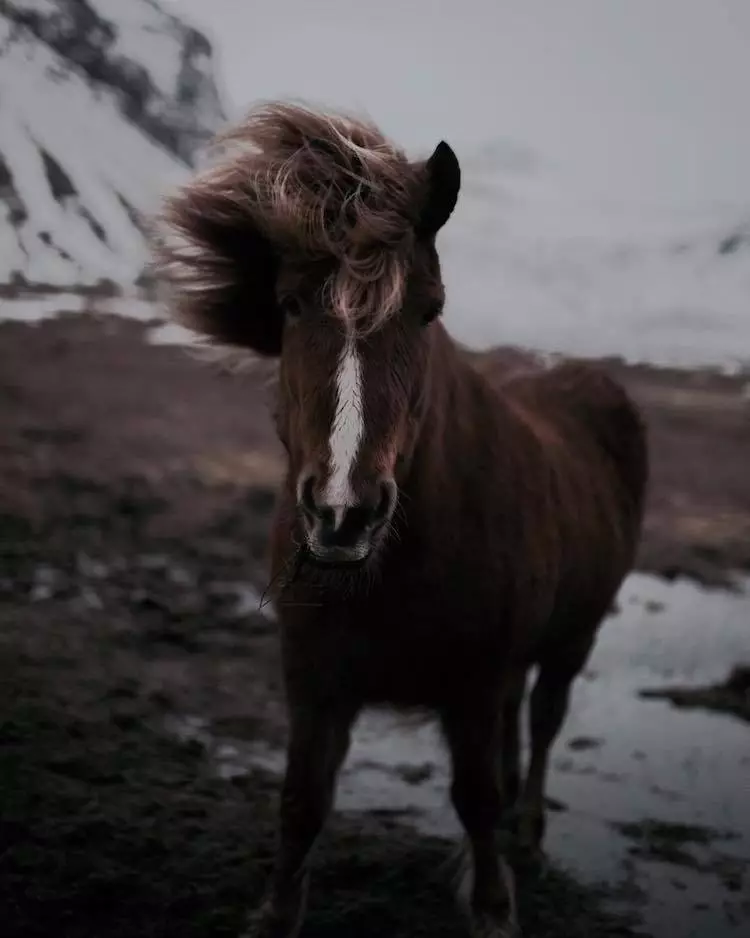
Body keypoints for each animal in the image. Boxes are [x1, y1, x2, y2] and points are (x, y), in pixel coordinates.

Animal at [151, 100, 648, 936]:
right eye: (289, 305)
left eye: (430, 309)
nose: (343, 513)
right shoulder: (314, 680)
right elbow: (302, 803)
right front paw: (276, 913)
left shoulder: (473, 680)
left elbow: (475, 797)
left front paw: (493, 906)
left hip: (573, 637)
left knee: (544, 721)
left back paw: (529, 835)